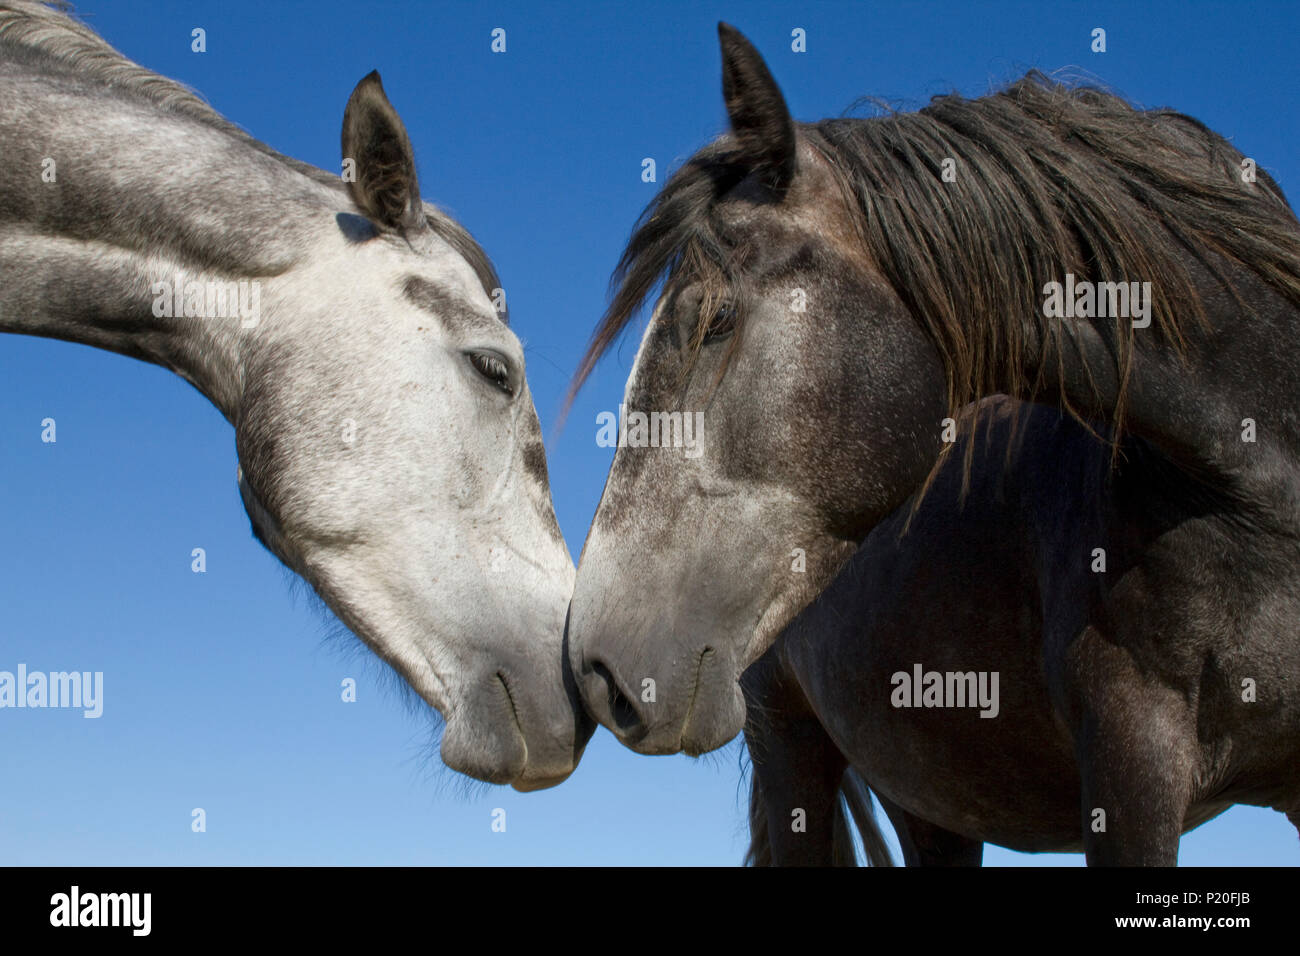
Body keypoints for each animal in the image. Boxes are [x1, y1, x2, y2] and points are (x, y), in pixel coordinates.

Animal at [566, 22, 1300, 864]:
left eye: (713, 319)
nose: (592, 668)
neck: (1264, 489)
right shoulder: (1131, 757)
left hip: (931, 795)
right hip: (792, 749)